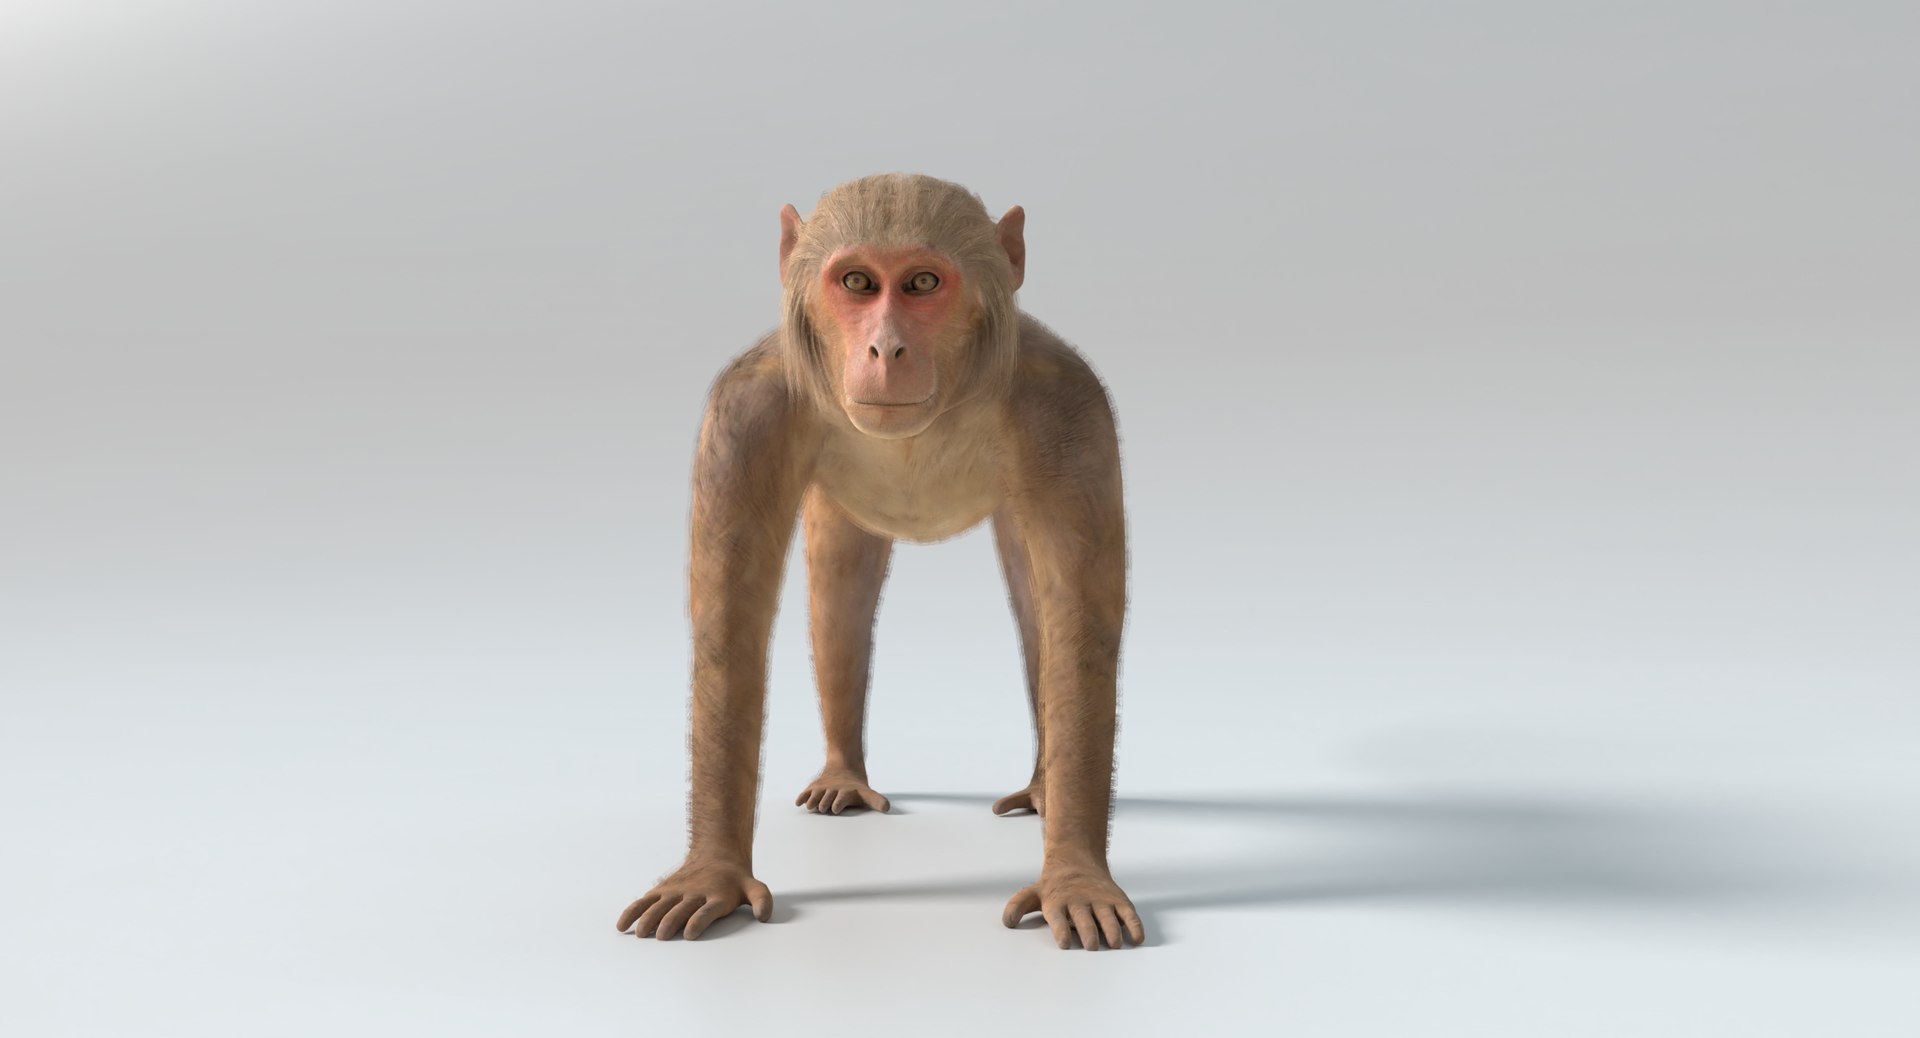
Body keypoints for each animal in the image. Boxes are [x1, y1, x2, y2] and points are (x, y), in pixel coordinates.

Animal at [614, 173, 1143, 951]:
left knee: (1036, 607)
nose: (884, 347)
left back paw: (1046, 788)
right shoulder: (745, 413)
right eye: (858, 283)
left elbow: (1077, 630)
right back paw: (844, 774)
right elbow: (728, 633)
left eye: (922, 283)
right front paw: (710, 870)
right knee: (838, 597)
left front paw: (1074, 876)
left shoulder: (1068, 412)